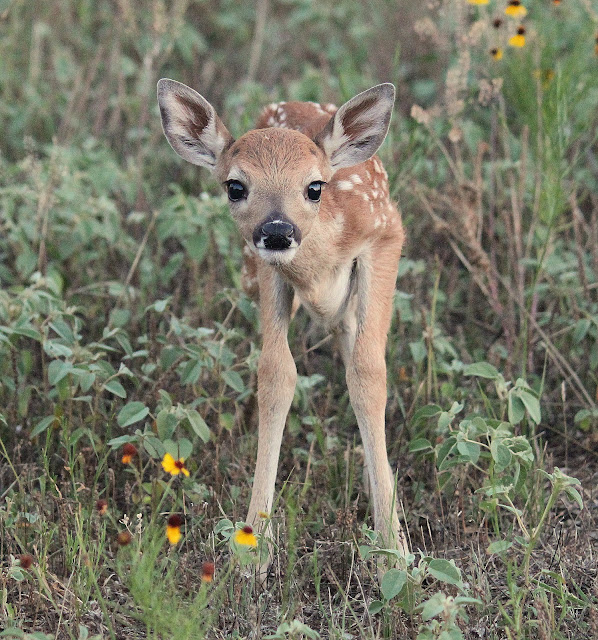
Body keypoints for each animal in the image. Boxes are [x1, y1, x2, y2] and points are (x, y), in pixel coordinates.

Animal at [157, 79, 409, 570]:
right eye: (235, 186)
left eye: (314, 186)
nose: (277, 231)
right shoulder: (269, 271)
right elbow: (276, 375)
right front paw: (252, 549)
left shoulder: (386, 235)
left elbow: (369, 374)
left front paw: (393, 548)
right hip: (252, 271)